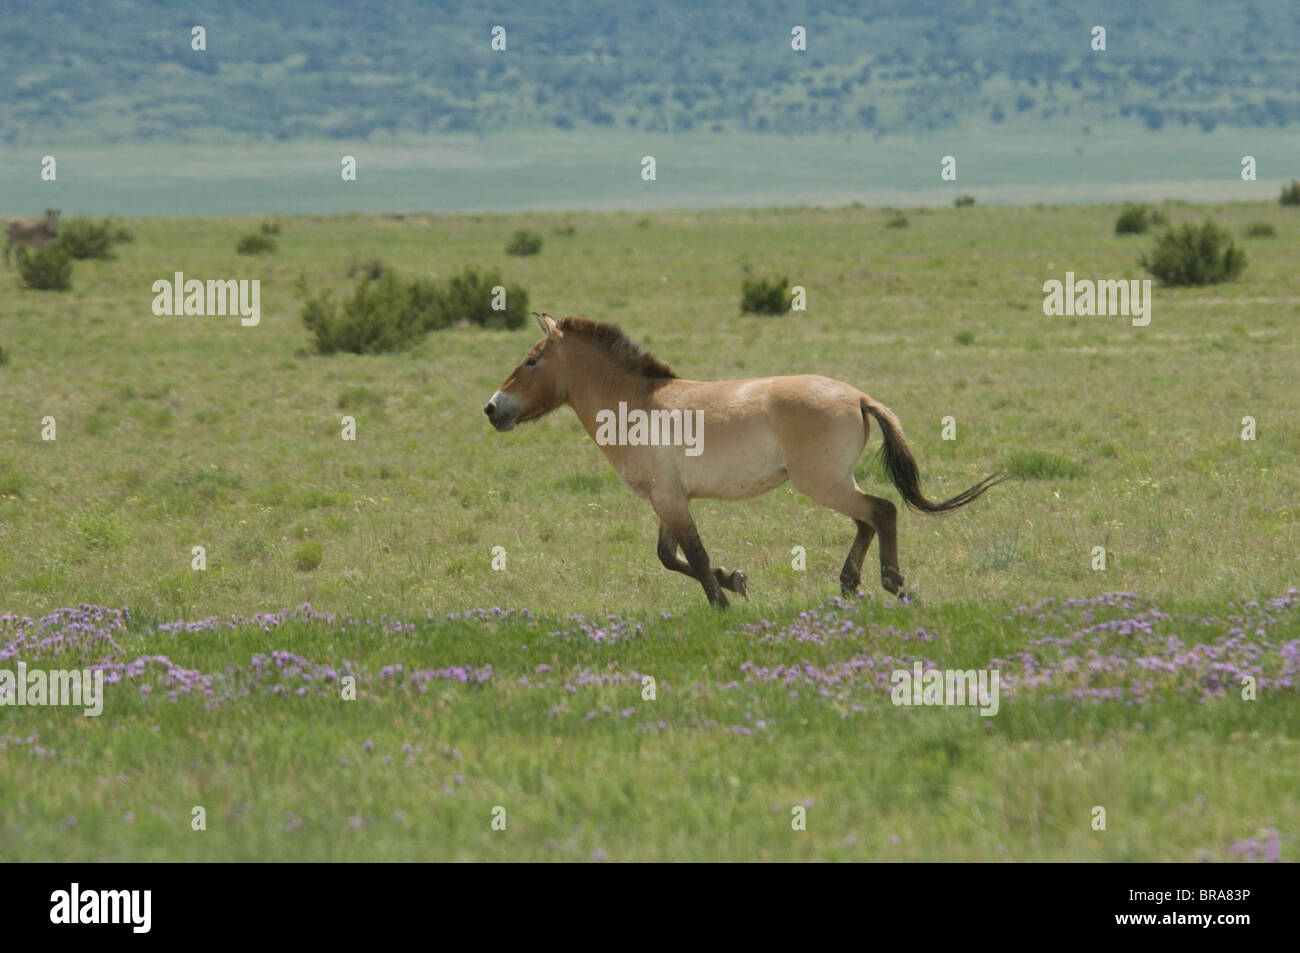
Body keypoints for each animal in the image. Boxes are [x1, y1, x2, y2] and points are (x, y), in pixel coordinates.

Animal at [488, 314, 1003, 608]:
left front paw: (722, 602)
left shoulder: (670, 500)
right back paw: (849, 585)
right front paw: (734, 581)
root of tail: (858, 396)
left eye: (531, 361)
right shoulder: (667, 499)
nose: (492, 409)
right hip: (837, 482)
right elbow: (670, 557)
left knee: (882, 511)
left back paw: (893, 584)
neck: (635, 405)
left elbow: (693, 555)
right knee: (868, 520)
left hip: (822, 483)